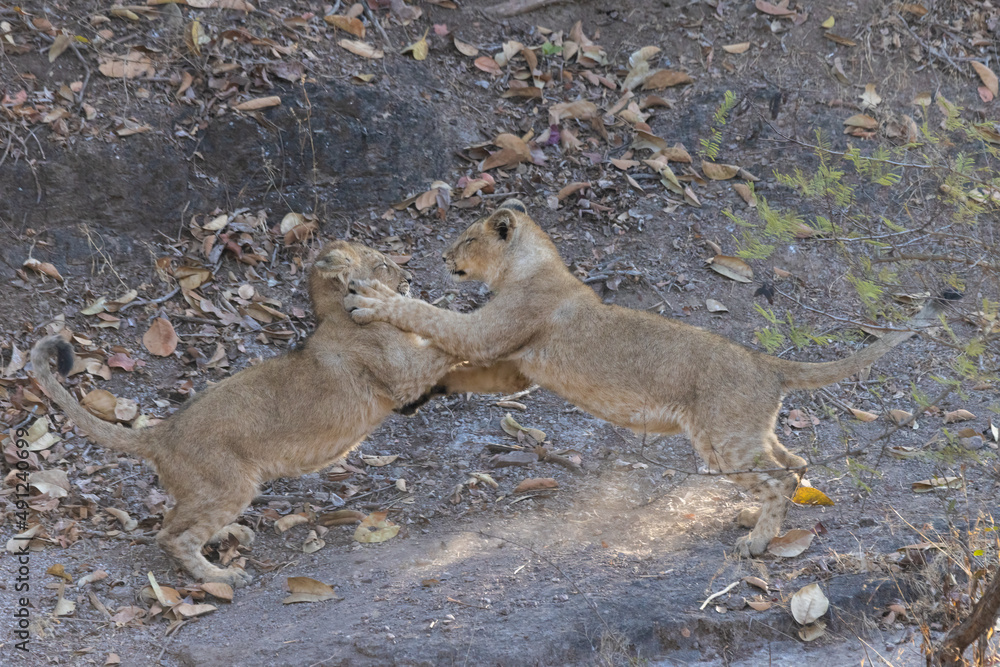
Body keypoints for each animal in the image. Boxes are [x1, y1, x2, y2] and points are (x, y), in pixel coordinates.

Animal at [31, 240, 528, 586]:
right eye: (384, 263)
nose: (406, 274)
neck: (337, 314)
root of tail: (161, 432)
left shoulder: (408, 393)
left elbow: (444, 347)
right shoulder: (403, 377)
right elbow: (449, 343)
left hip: (205, 489)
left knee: (175, 520)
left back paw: (230, 537)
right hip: (229, 484)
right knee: (171, 536)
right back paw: (222, 576)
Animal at [344, 200, 943, 557]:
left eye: (468, 239)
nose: (444, 254)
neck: (530, 266)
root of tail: (764, 362)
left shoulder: (490, 332)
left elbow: (429, 316)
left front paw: (371, 300)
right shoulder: (513, 366)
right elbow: (464, 371)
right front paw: (420, 394)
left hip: (723, 439)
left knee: (775, 477)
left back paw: (756, 542)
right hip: (748, 430)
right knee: (793, 464)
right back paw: (763, 518)